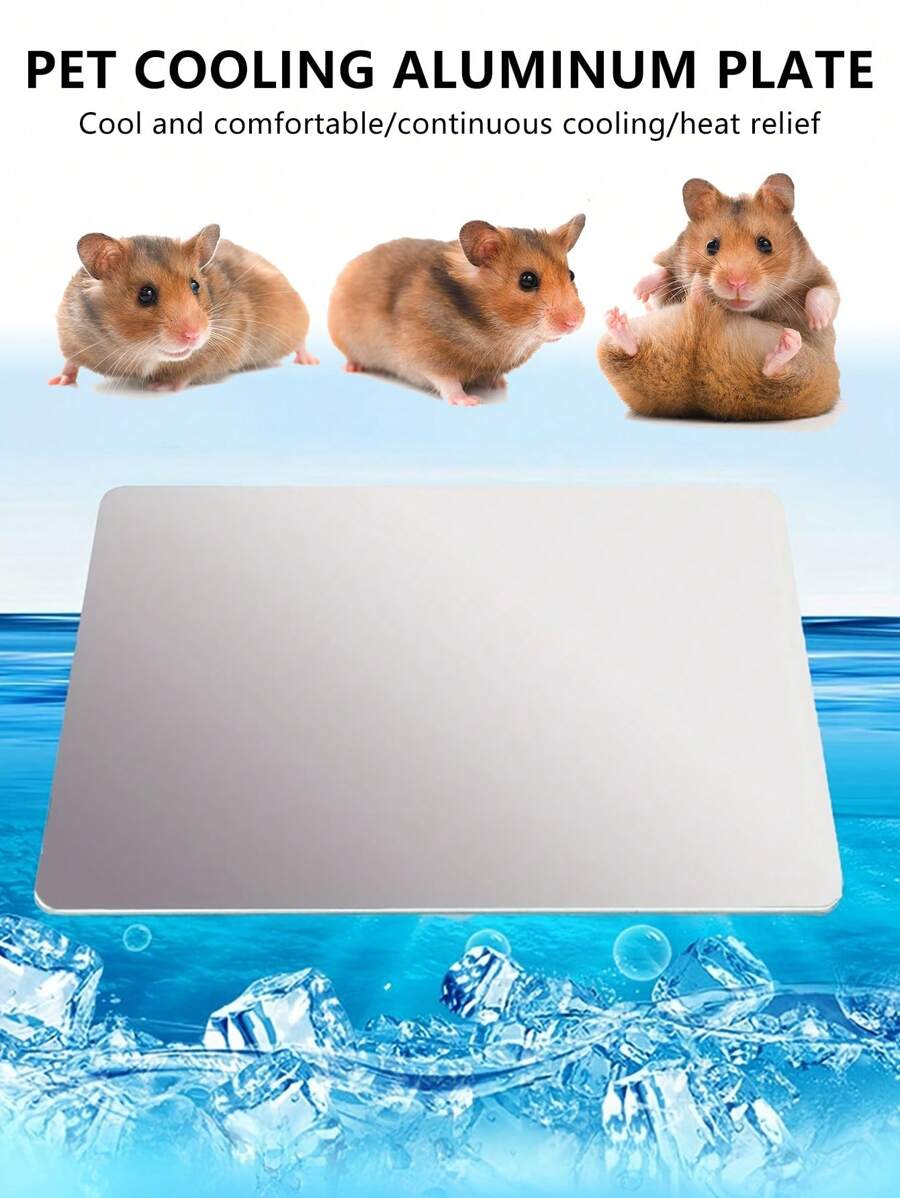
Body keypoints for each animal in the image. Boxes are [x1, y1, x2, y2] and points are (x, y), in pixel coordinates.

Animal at [50, 226, 317, 391]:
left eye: (195, 285)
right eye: (145, 294)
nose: (194, 335)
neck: (138, 352)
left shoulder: (225, 341)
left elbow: (187, 372)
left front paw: (159, 387)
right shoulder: (71, 333)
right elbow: (70, 361)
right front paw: (57, 382)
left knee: (300, 341)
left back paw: (309, 361)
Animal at [328, 216, 586, 406]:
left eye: (571, 274)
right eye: (528, 280)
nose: (574, 322)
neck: (501, 333)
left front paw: (500, 384)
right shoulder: (424, 355)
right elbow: (446, 380)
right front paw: (469, 401)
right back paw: (353, 367)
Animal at [598, 175, 840, 420]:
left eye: (765, 243)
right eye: (711, 245)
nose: (737, 283)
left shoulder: (819, 273)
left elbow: (822, 293)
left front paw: (817, 321)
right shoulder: (669, 270)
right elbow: (661, 276)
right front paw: (639, 292)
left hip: (806, 378)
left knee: (774, 375)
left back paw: (788, 342)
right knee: (629, 351)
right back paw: (617, 320)